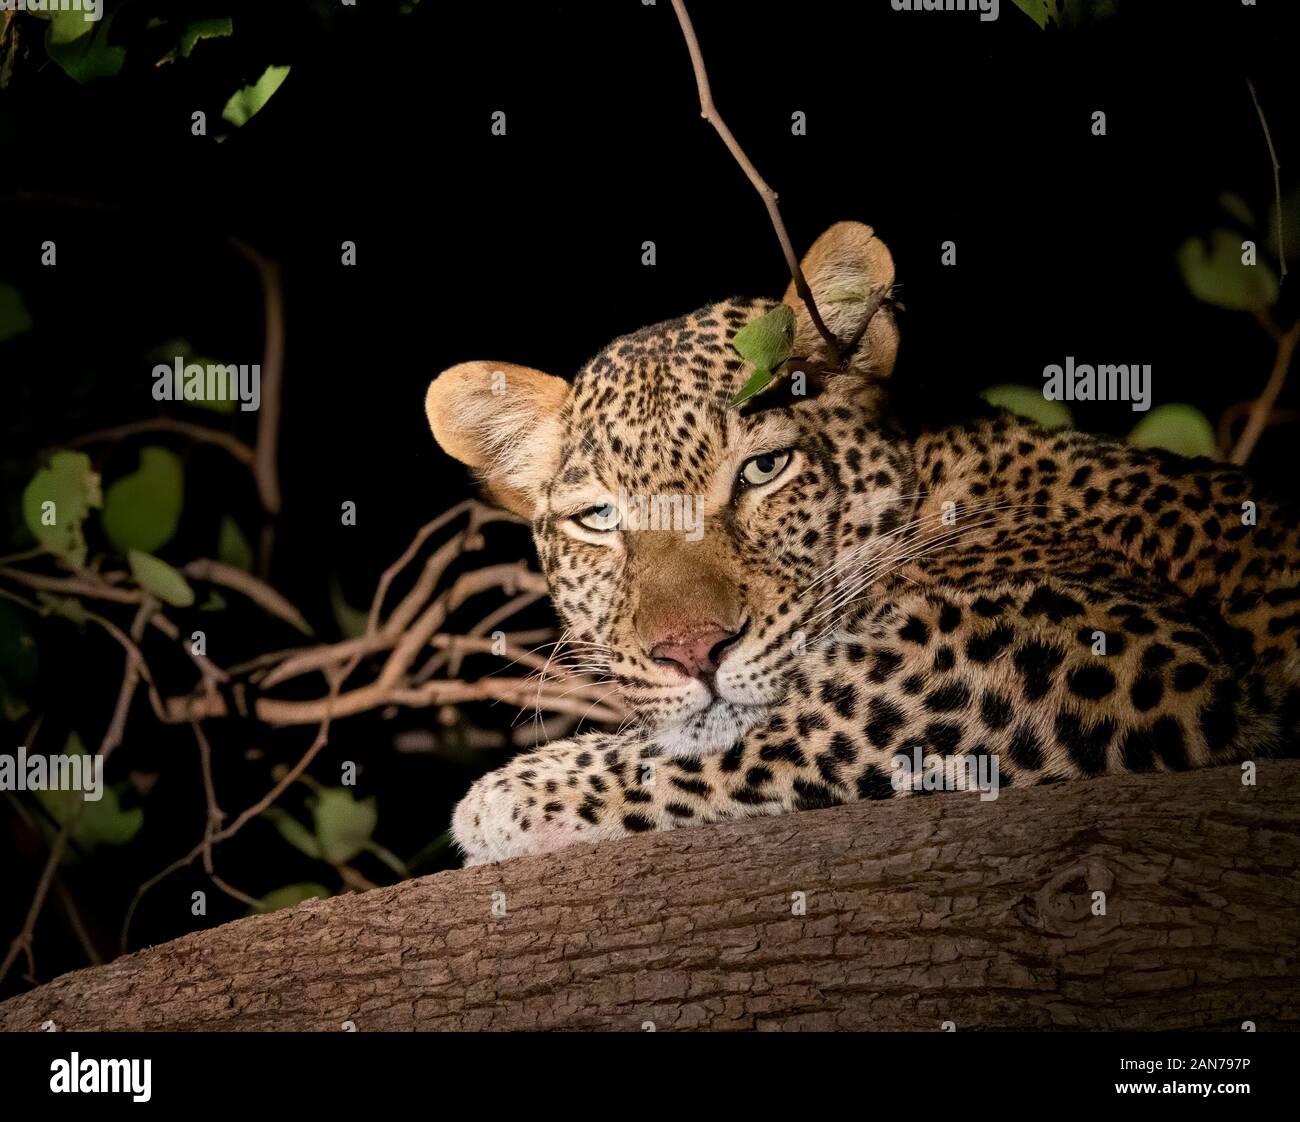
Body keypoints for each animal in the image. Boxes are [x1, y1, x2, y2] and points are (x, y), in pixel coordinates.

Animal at [424, 221, 1300, 867]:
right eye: (599, 519)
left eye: (764, 469)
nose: (693, 650)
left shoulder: (1126, 647)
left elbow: (811, 708)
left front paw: (515, 790)